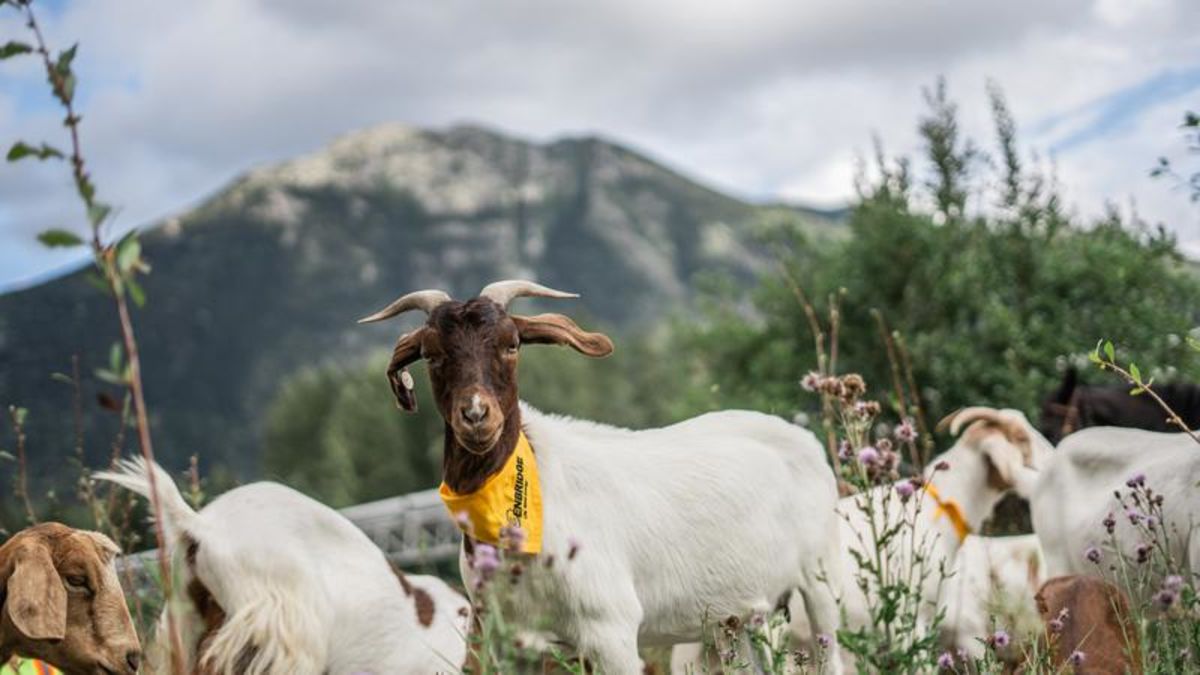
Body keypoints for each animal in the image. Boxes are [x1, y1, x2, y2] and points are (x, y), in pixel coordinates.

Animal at [359, 280, 846, 674]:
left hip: (819, 584)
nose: (477, 416)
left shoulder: (610, 631)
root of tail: (802, 438)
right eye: (432, 354)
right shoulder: (505, 639)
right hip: (741, 617)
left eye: (512, 344)